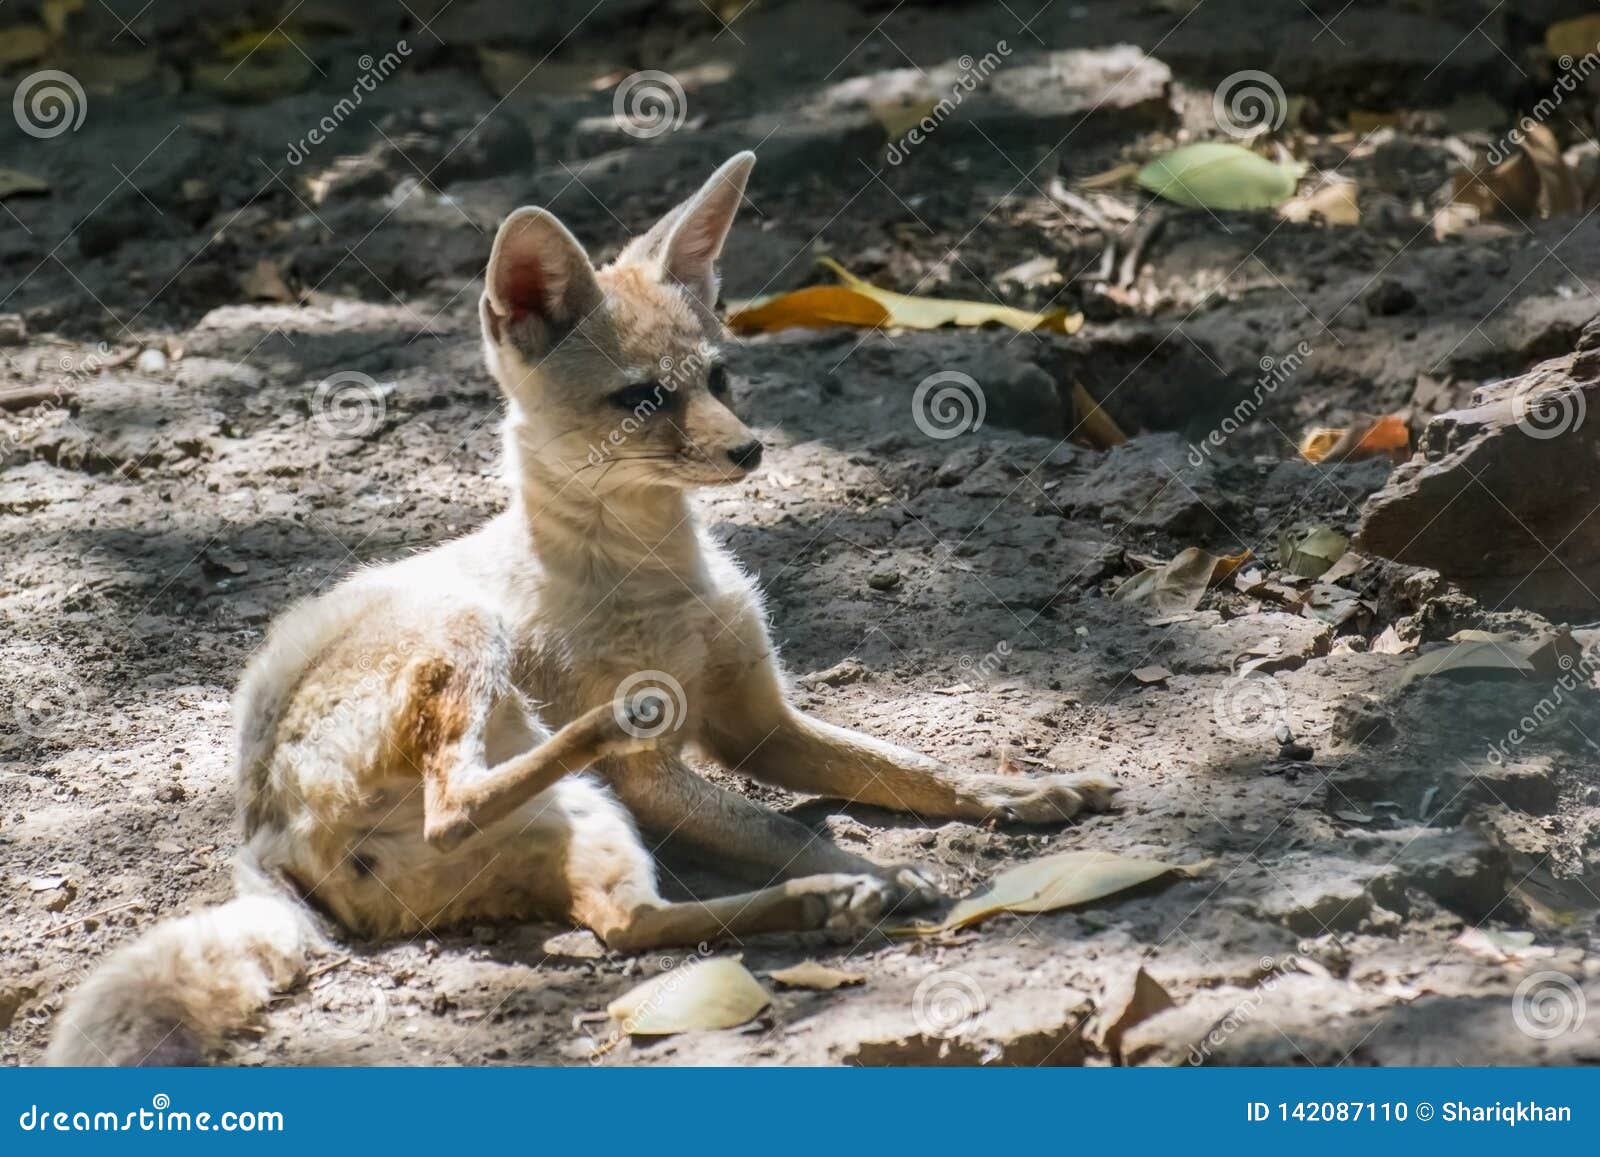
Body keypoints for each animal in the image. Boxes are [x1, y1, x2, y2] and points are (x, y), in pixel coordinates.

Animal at [46, 152, 1119, 1066]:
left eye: (720, 377)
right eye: (643, 400)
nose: (750, 451)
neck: (664, 575)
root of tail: (259, 831)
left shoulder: (759, 728)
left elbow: (913, 767)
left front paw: (1021, 789)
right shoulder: (664, 775)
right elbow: (791, 827)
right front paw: (881, 868)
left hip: (588, 818)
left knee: (624, 927)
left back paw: (814, 903)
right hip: (487, 656)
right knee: (471, 811)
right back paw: (673, 776)